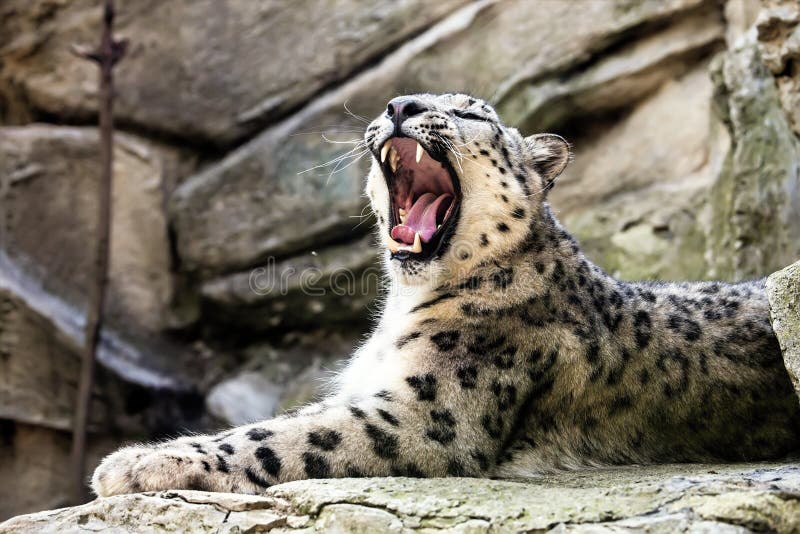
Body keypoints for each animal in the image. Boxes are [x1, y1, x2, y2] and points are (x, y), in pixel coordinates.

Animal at [92, 93, 800, 497]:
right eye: (393, 103)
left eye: (468, 112)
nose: (400, 106)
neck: (405, 304)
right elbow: (289, 420)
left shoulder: (428, 413)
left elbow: (286, 437)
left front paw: (133, 465)